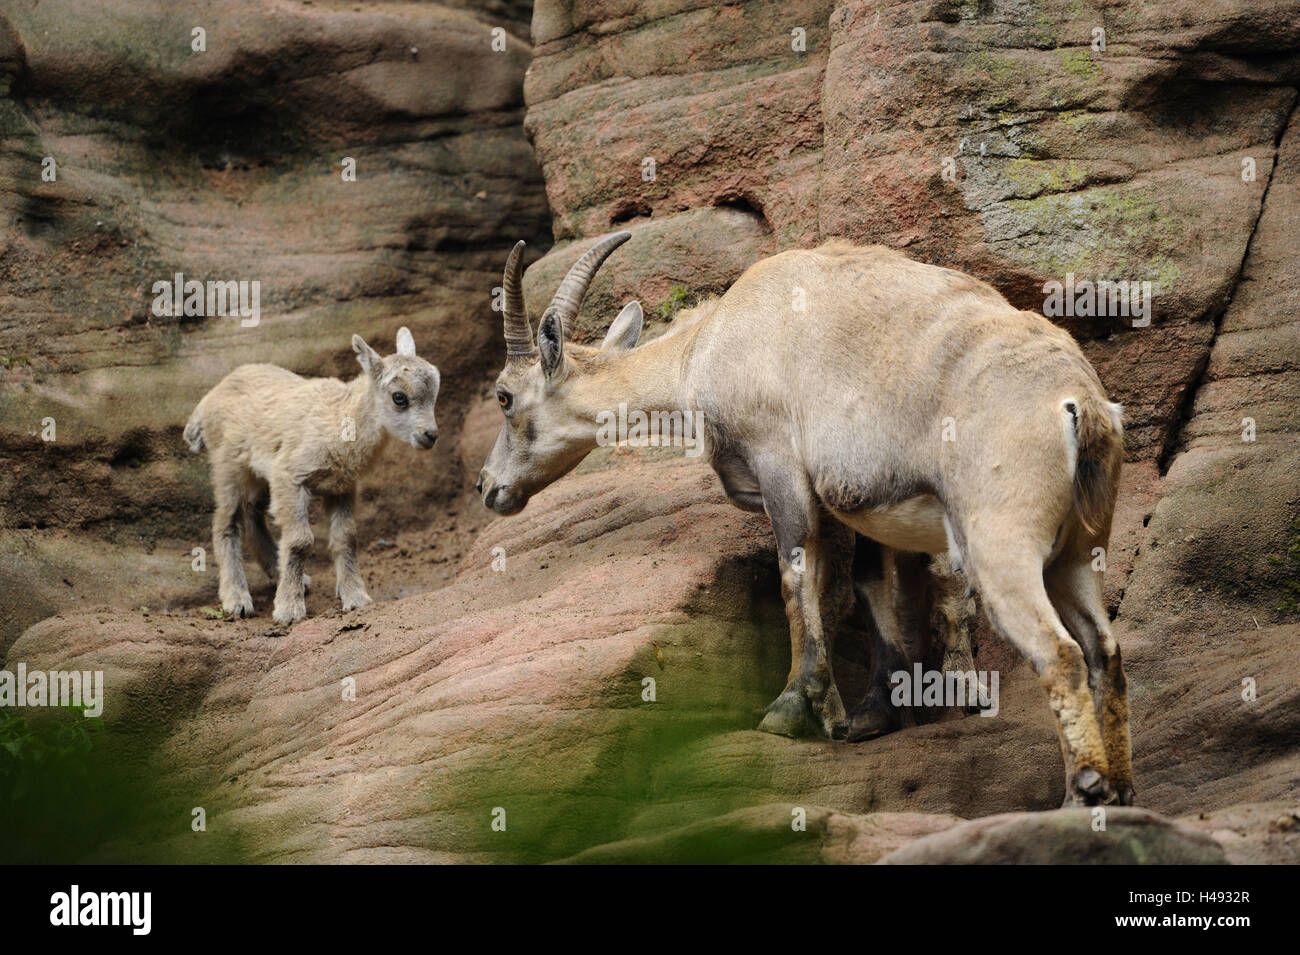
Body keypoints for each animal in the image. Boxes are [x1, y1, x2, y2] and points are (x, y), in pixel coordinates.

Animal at [184, 328, 440, 625]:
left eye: (435, 393)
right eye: (399, 397)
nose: (430, 435)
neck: (341, 419)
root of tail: (206, 402)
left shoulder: (342, 486)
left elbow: (346, 537)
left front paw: (355, 597)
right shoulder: (291, 475)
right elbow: (300, 540)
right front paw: (289, 610)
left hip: (260, 475)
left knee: (252, 512)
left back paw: (282, 574)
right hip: (228, 465)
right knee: (227, 521)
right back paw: (237, 599)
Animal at [477, 235, 1130, 807]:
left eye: (504, 396)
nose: (488, 488)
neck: (707, 347)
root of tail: (1081, 405)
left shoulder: (779, 464)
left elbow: (797, 579)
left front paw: (794, 708)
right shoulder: (851, 503)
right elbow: (859, 588)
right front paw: (867, 713)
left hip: (1002, 539)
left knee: (1059, 651)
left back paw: (1079, 793)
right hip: (1078, 552)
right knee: (1103, 650)